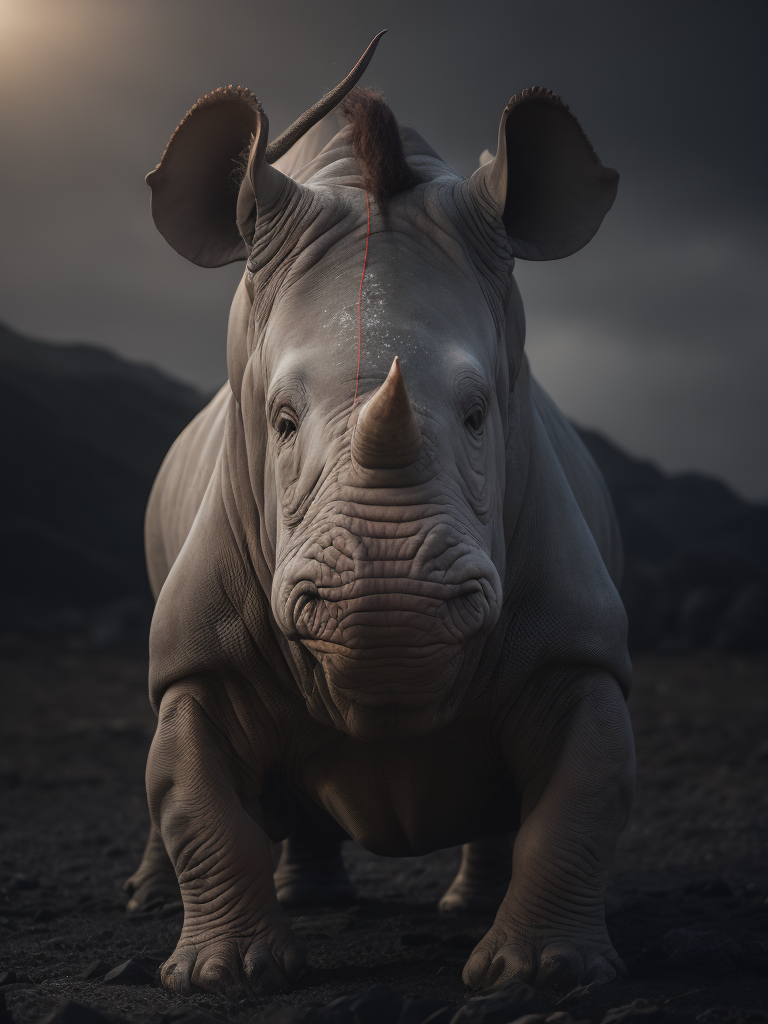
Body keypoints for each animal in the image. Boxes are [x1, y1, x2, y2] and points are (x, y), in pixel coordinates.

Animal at [124, 34, 635, 997]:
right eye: (282, 421)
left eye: (478, 415)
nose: (388, 590)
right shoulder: (195, 654)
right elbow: (198, 804)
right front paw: (226, 976)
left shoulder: (577, 643)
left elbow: (582, 800)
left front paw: (541, 973)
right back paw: (173, 904)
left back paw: (464, 910)